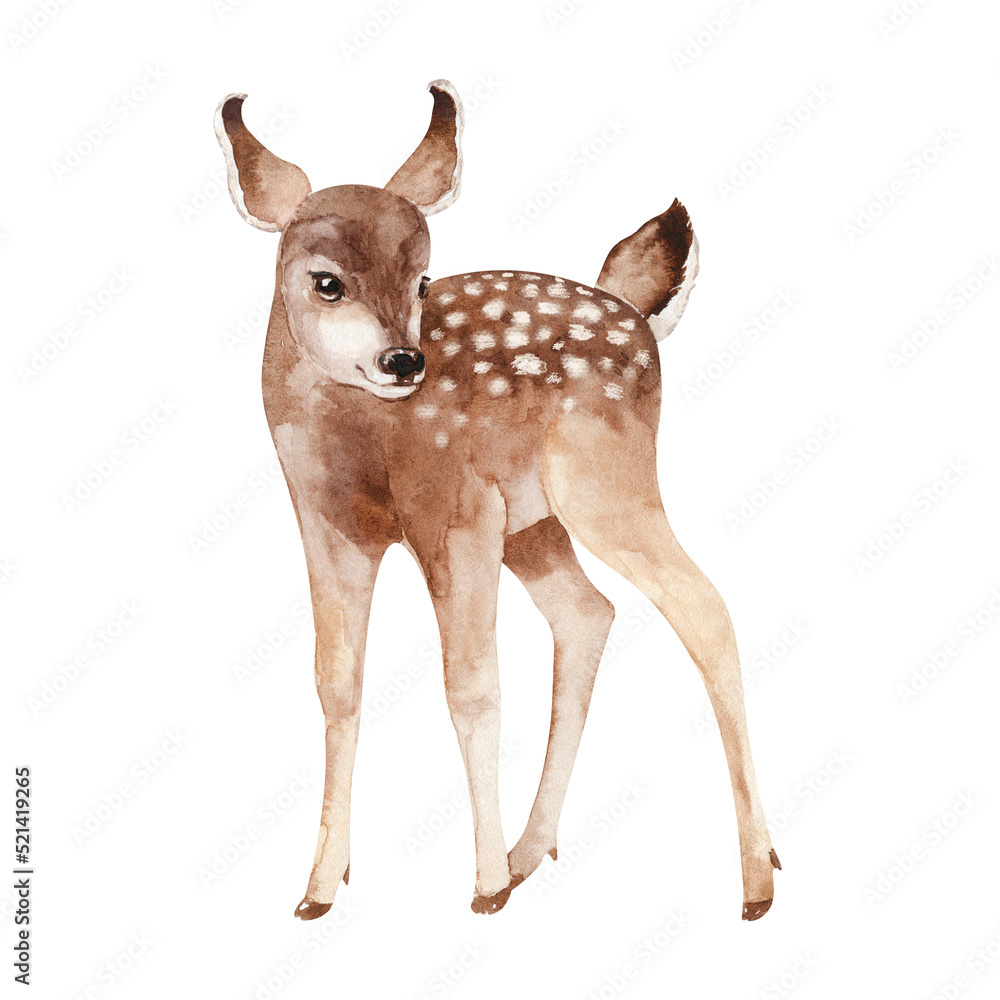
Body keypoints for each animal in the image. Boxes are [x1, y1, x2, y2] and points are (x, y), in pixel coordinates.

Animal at [214, 79, 780, 923]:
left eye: (422, 278)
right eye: (328, 281)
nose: (404, 359)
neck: (366, 449)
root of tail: (638, 316)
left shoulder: (457, 512)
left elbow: (471, 685)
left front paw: (479, 887)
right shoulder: (325, 525)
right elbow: (336, 683)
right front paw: (318, 888)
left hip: (602, 480)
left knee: (702, 607)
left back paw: (755, 882)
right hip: (536, 522)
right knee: (588, 613)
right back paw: (529, 852)